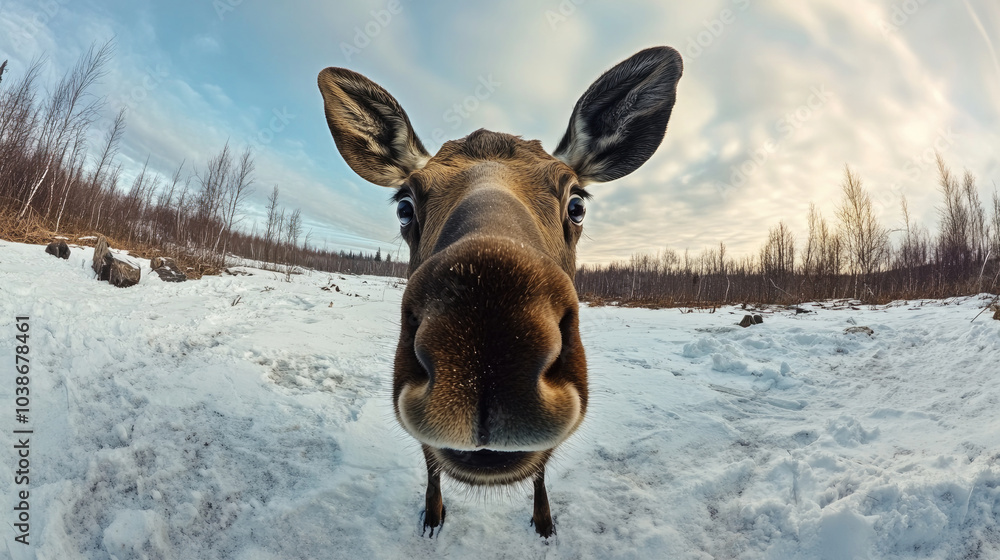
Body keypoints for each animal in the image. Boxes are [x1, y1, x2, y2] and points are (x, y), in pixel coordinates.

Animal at [318, 46, 682, 538]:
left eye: (577, 203)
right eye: (405, 205)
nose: (485, 330)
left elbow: (542, 471)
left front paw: (544, 523)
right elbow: (431, 465)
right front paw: (432, 519)